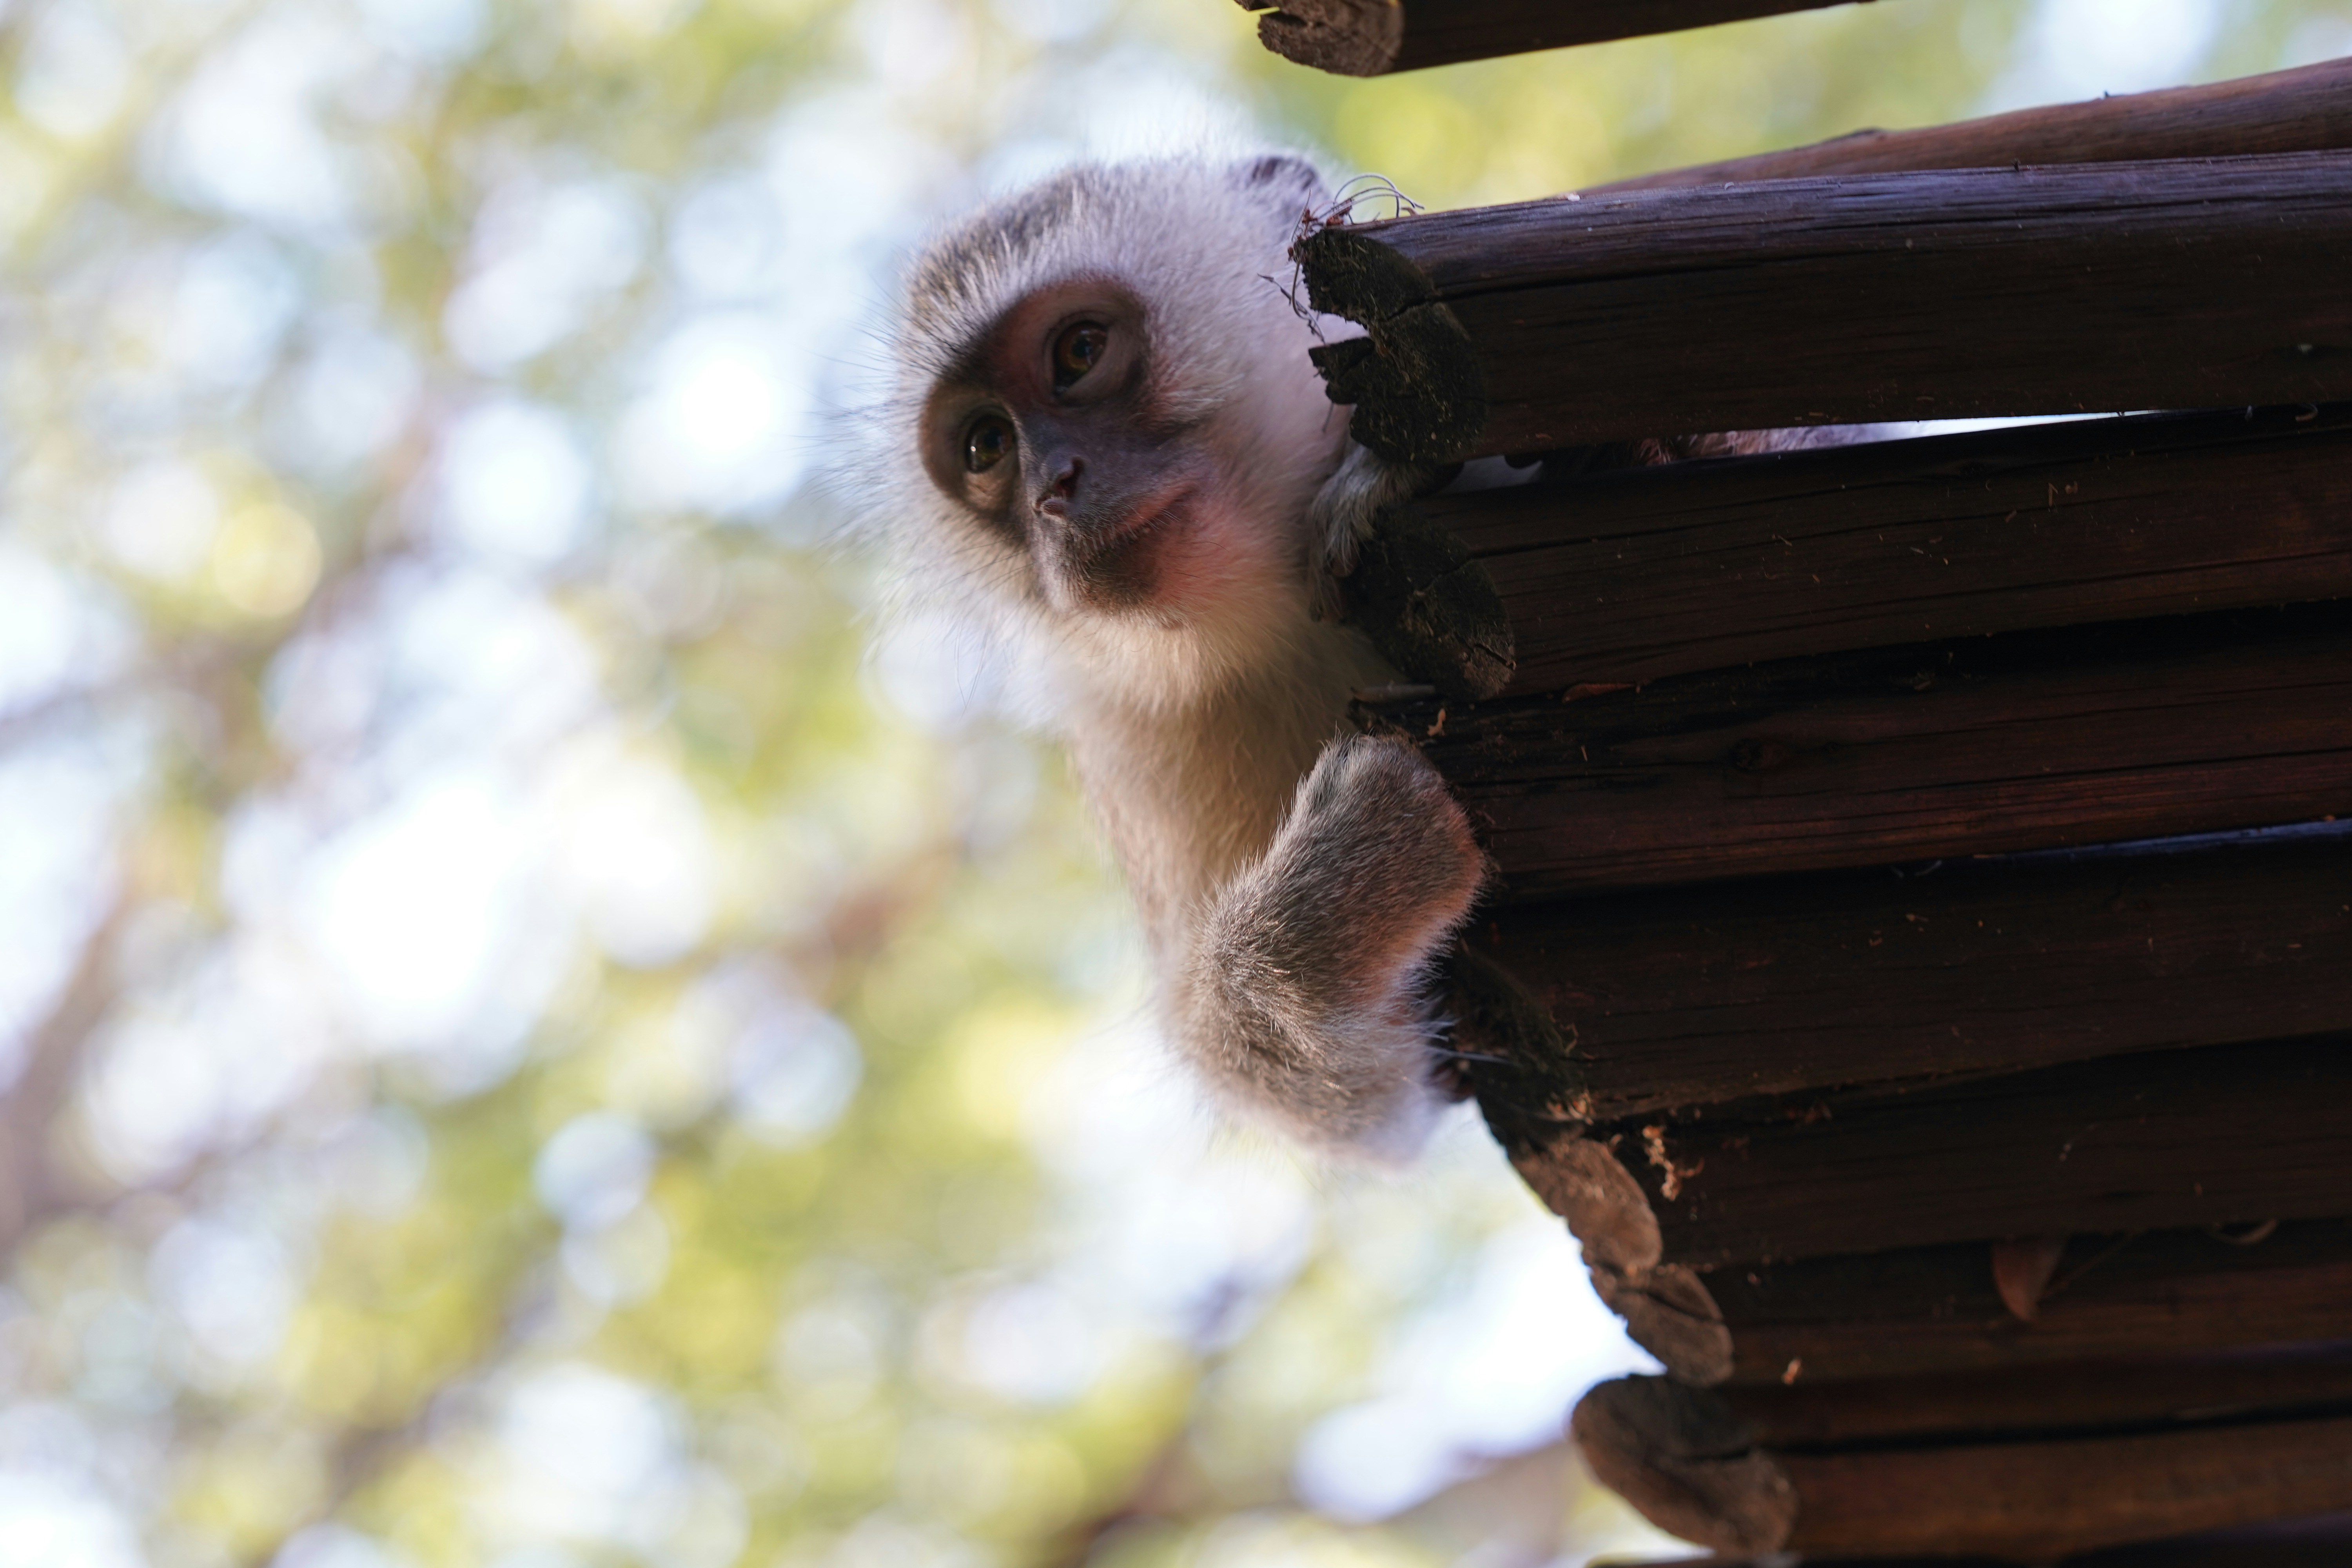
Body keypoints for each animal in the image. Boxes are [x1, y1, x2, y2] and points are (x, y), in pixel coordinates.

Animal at [873, 153, 1486, 1157]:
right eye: (987, 444)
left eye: (1079, 353)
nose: (1053, 489)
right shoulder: (1135, 740)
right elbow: (1392, 1092)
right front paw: (1331, 901)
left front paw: (1384, 469)